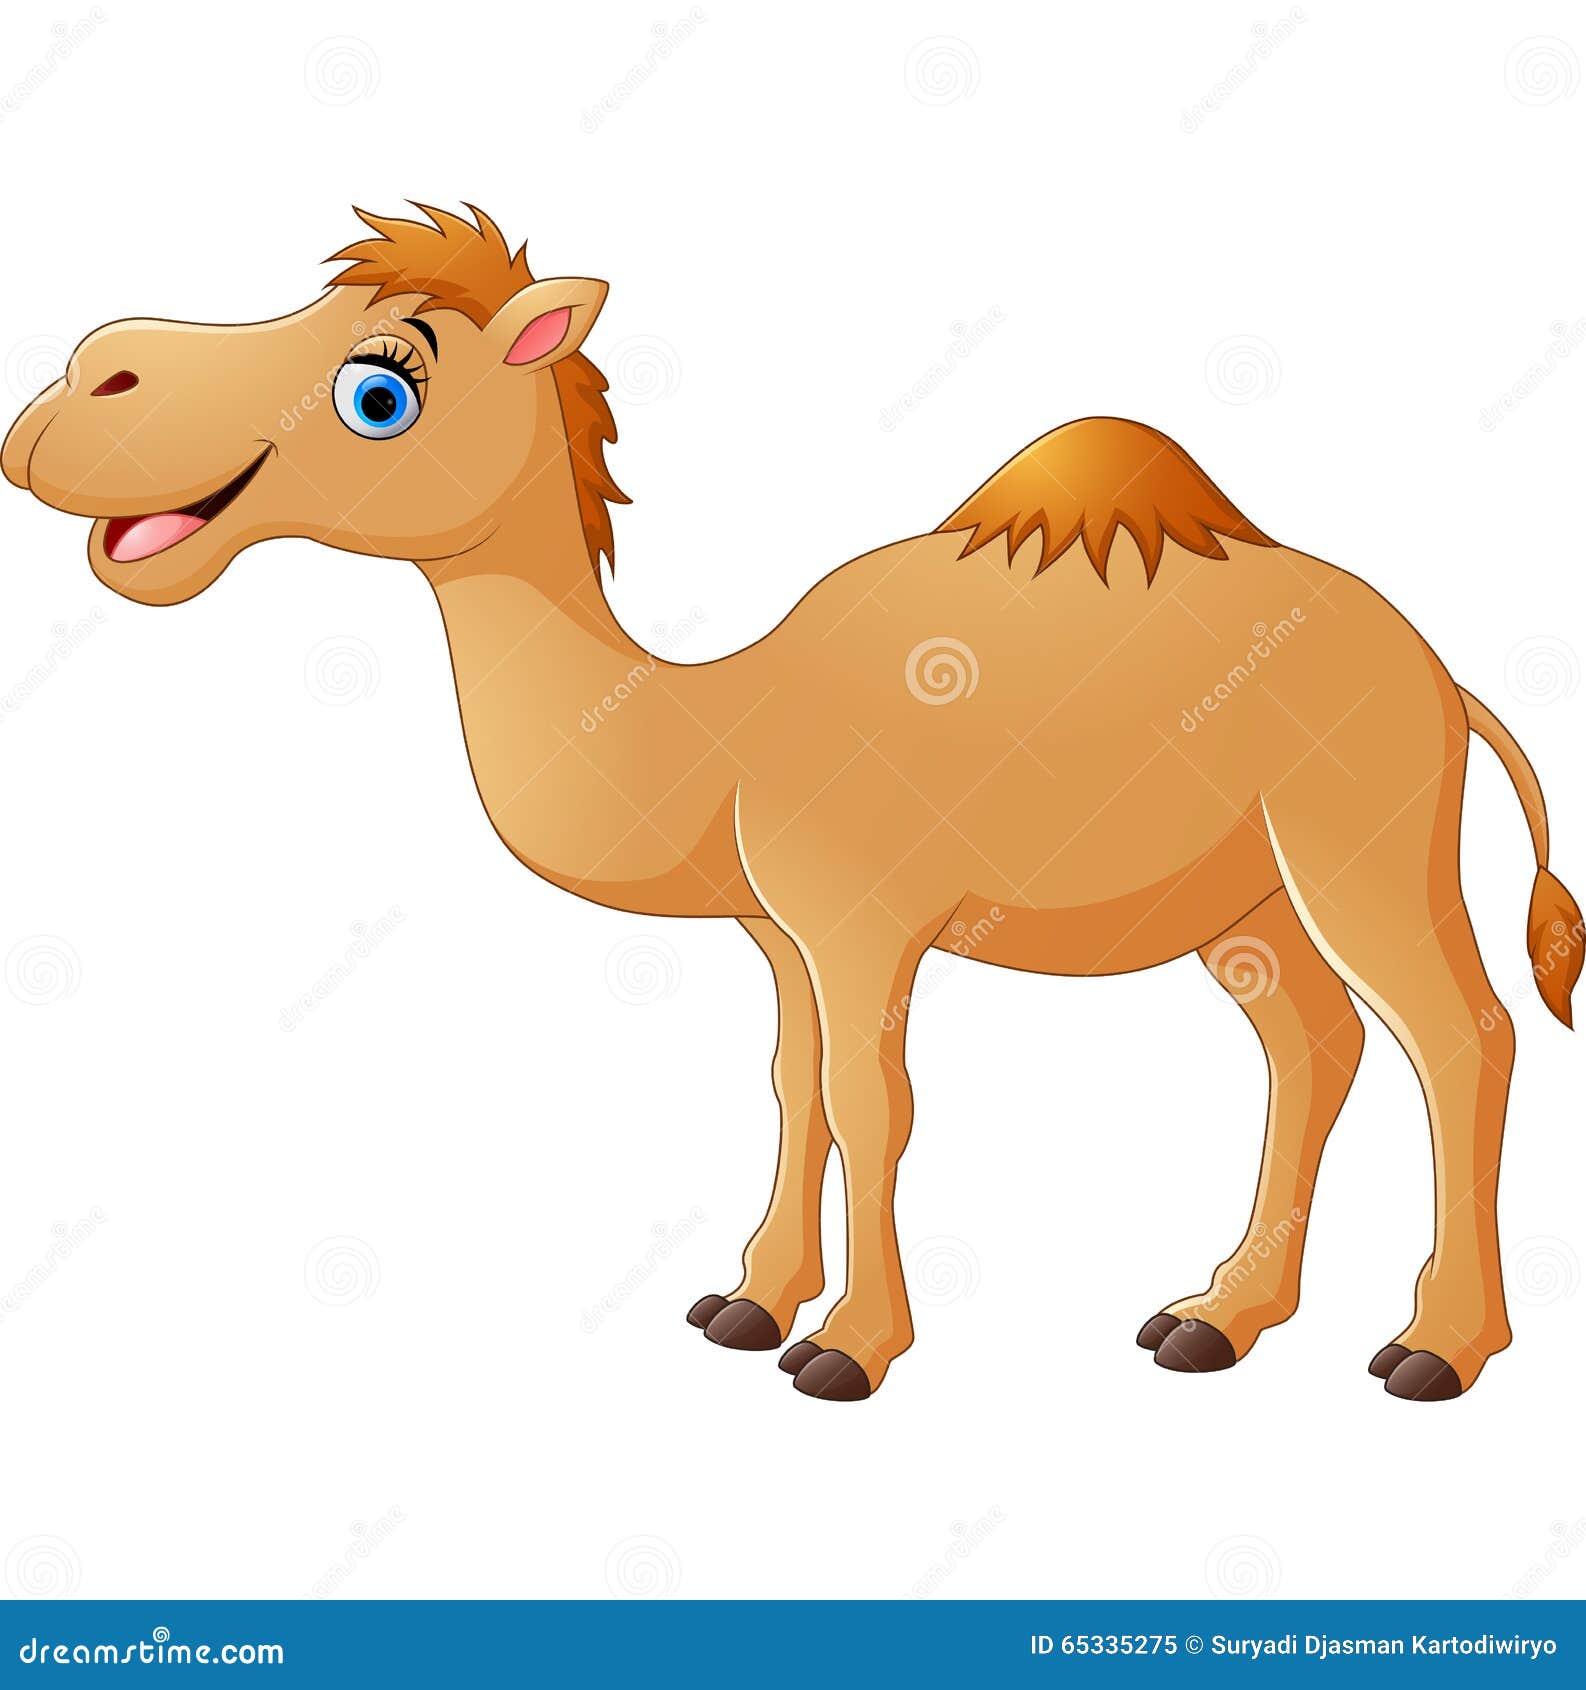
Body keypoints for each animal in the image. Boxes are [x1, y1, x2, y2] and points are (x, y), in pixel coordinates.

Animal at [5, 204, 1579, 1404]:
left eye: (380, 389)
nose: (79, 384)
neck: (717, 732)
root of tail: (1443, 678)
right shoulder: (783, 928)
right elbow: (793, 1085)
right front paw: (745, 1305)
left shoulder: (862, 911)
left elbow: (873, 1103)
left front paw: (845, 1352)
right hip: (1241, 893)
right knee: (1312, 1040)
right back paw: (1209, 1318)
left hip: (1360, 834)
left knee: (1461, 1034)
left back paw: (1435, 1348)